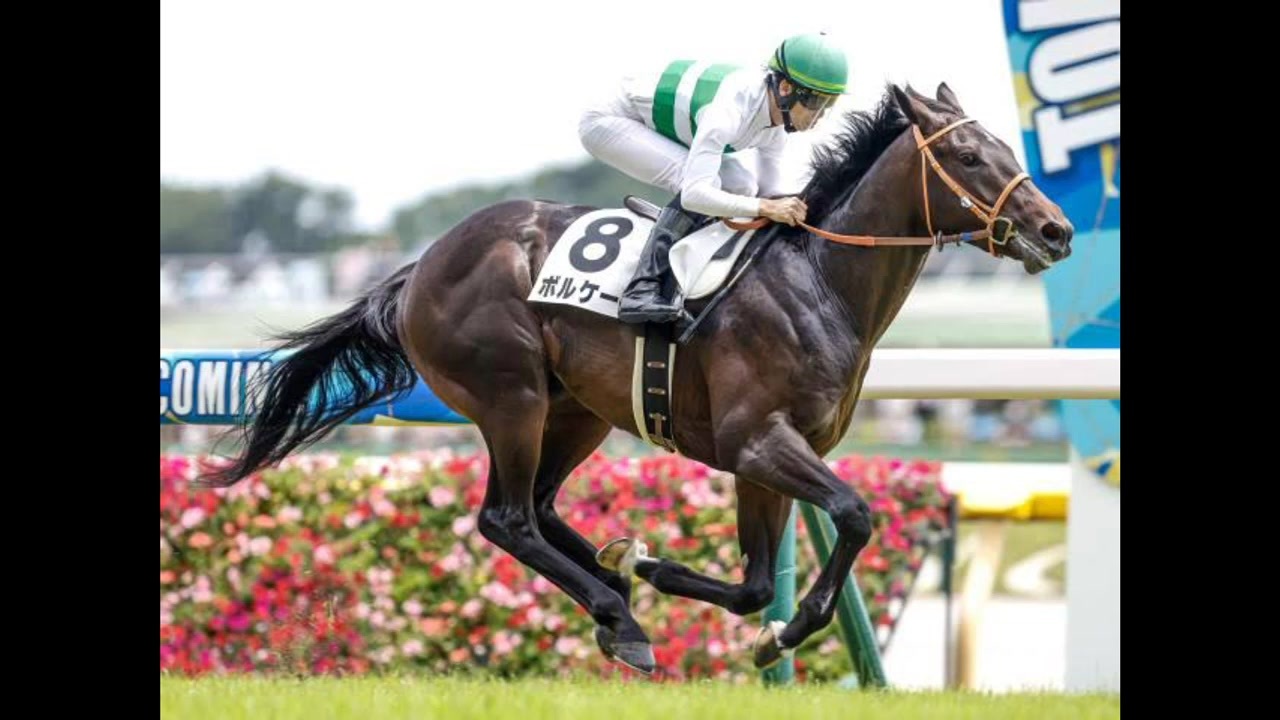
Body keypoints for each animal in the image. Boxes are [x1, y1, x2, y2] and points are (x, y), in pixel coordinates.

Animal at [200, 82, 1072, 674]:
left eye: (1006, 149)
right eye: (968, 156)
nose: (1056, 229)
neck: (818, 282)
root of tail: (420, 266)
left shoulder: (767, 457)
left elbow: (756, 583)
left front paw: (675, 578)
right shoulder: (759, 442)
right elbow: (855, 515)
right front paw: (780, 630)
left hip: (577, 411)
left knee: (542, 510)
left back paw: (615, 573)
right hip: (510, 395)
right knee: (507, 519)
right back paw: (621, 619)